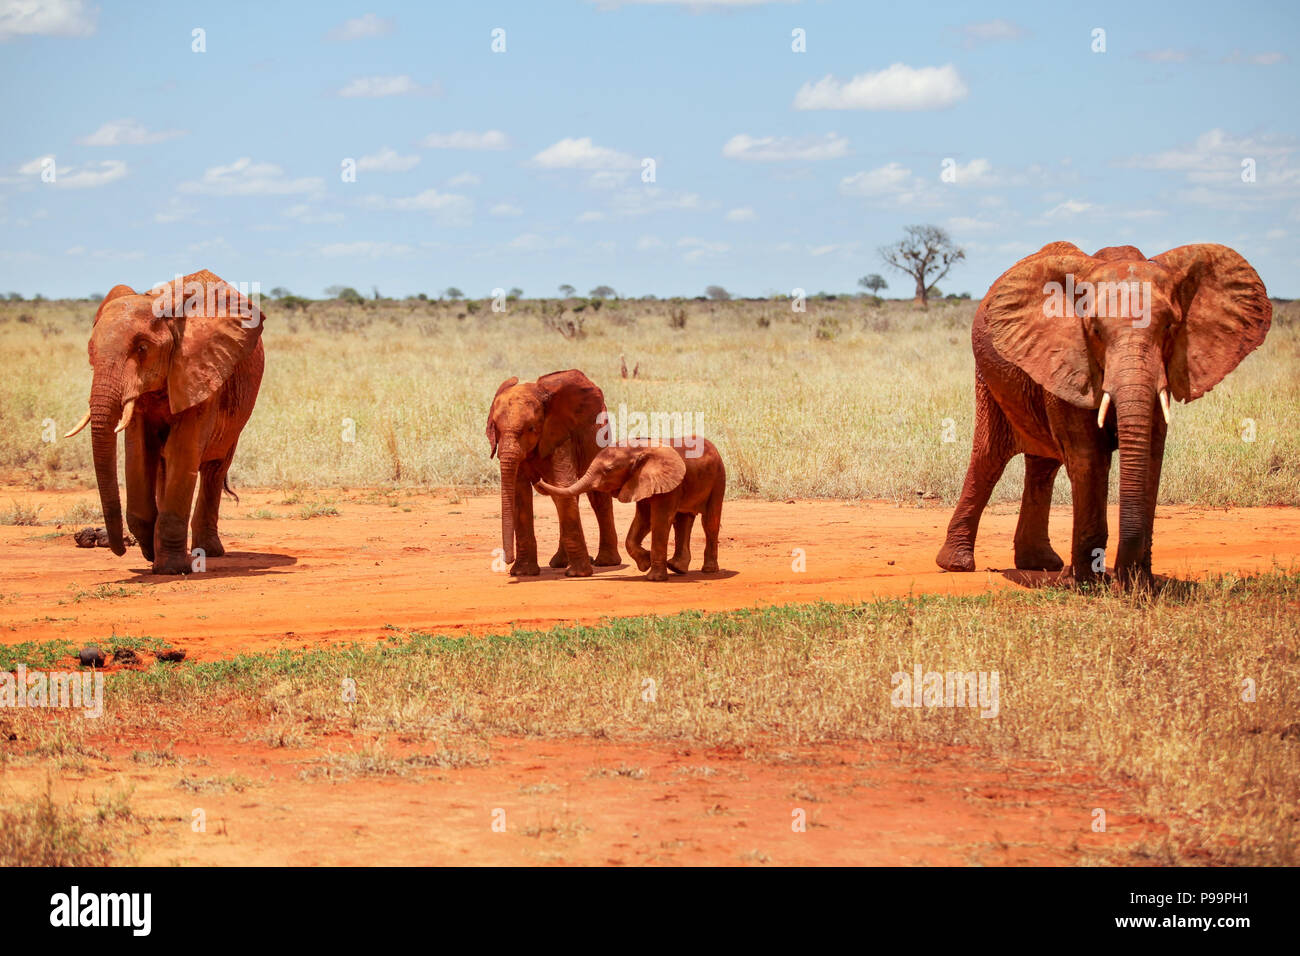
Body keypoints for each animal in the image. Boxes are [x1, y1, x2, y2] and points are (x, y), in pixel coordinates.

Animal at [64, 270, 265, 574]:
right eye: (91, 351)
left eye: (142, 347)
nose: (121, 550)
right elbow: (140, 452)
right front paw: (151, 553)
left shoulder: (200, 372)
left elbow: (182, 452)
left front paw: (171, 568)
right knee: (163, 465)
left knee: (214, 469)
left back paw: (208, 552)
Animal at [486, 369, 620, 576]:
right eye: (496, 428)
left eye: (531, 428)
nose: (507, 560)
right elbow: (520, 493)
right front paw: (523, 573)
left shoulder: (559, 433)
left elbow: (562, 484)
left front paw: (578, 574)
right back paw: (559, 563)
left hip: (599, 434)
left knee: (596, 497)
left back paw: (605, 563)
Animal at [537, 438, 725, 581]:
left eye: (608, 470)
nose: (538, 481)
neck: (639, 450)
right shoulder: (642, 482)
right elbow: (644, 520)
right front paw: (645, 562)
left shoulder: (666, 485)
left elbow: (660, 520)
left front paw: (654, 578)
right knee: (683, 521)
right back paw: (677, 567)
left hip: (718, 478)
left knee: (709, 522)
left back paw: (708, 570)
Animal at [936, 242, 1271, 586]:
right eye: (1095, 330)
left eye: (1170, 326)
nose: (1125, 575)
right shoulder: (1071, 360)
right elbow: (1089, 456)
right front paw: (1086, 584)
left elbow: (1151, 455)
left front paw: (1139, 584)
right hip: (987, 378)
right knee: (989, 457)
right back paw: (957, 564)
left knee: (1043, 467)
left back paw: (1041, 564)